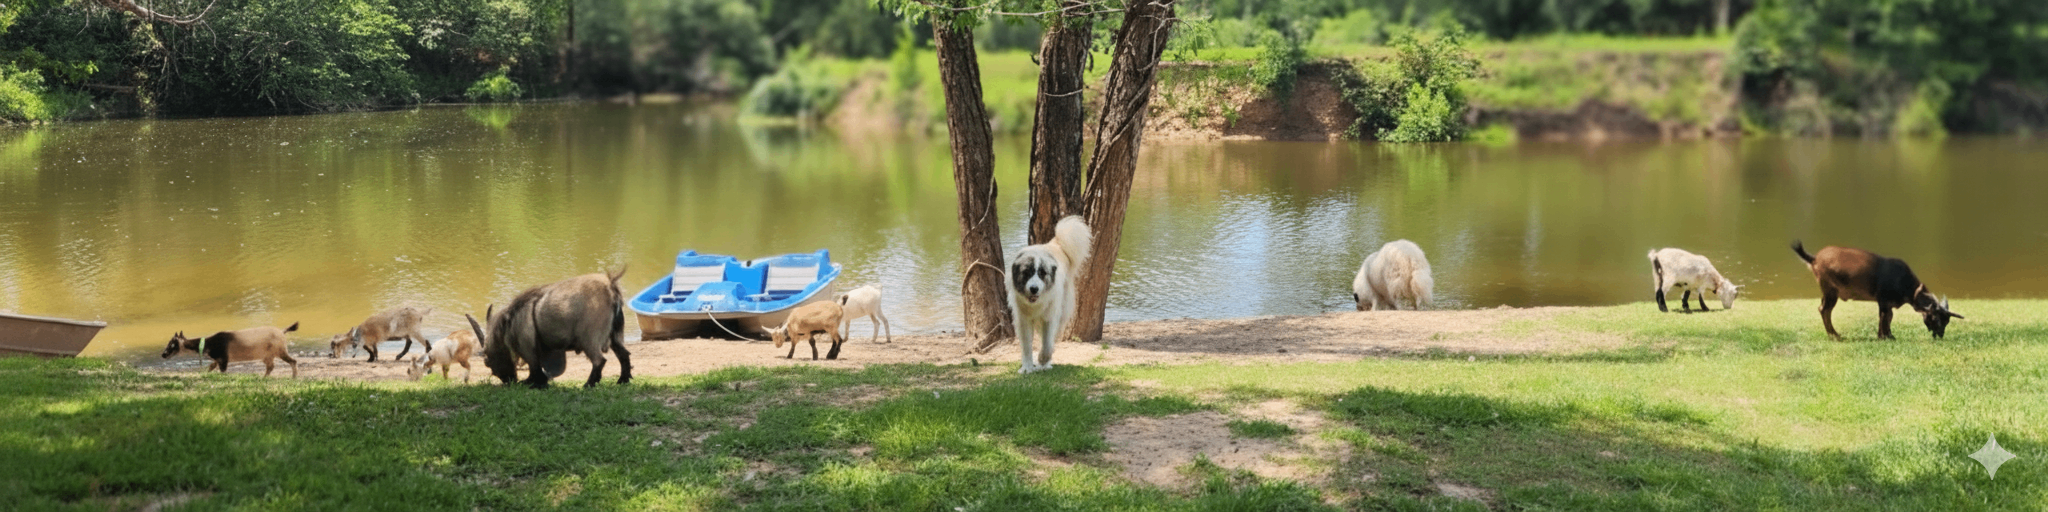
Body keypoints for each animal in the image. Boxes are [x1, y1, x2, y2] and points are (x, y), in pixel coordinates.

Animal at [161, 322, 301, 378]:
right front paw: (206, 374)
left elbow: (222, 371)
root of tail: (282, 331)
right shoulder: (218, 359)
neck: (208, 344)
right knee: (270, 366)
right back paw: (263, 378)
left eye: (172, 344)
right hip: (267, 355)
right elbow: (211, 366)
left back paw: (293, 378)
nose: (163, 355)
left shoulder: (223, 358)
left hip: (280, 350)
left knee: (293, 361)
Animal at [464, 268, 631, 389]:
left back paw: (588, 384)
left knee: (598, 360)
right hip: (615, 335)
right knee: (623, 354)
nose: (507, 380)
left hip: (589, 338)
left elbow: (534, 366)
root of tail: (611, 288)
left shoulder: (527, 348)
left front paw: (533, 384)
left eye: (488, 362)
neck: (506, 325)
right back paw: (623, 380)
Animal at [1793, 241, 1964, 340]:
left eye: (1947, 321)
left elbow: (1890, 316)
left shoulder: (1889, 303)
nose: (1940, 335)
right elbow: (1884, 317)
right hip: (1830, 290)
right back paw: (1834, 335)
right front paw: (1882, 336)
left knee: (1822, 308)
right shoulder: (1882, 300)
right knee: (1825, 310)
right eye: (1935, 318)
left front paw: (1890, 335)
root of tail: (1814, 259)